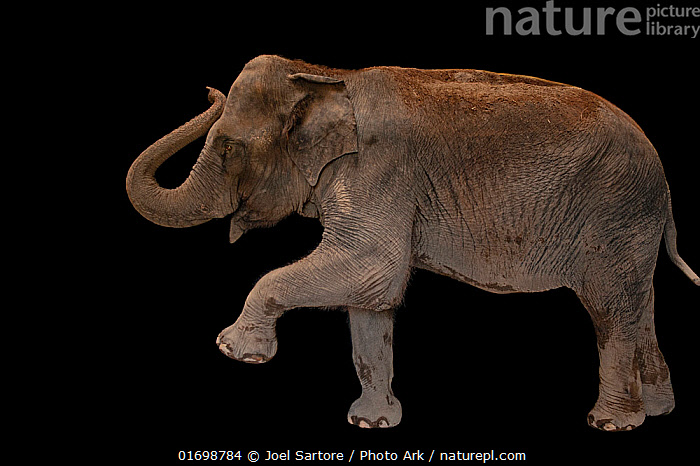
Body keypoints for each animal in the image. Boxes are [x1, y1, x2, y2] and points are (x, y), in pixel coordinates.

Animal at [127, 55, 699, 431]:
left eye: (228, 147)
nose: (208, 91)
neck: (324, 74)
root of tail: (665, 180)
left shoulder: (379, 173)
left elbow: (371, 266)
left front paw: (236, 351)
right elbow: (368, 299)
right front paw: (372, 425)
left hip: (612, 211)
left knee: (609, 310)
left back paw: (611, 424)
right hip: (631, 223)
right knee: (639, 305)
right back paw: (659, 410)